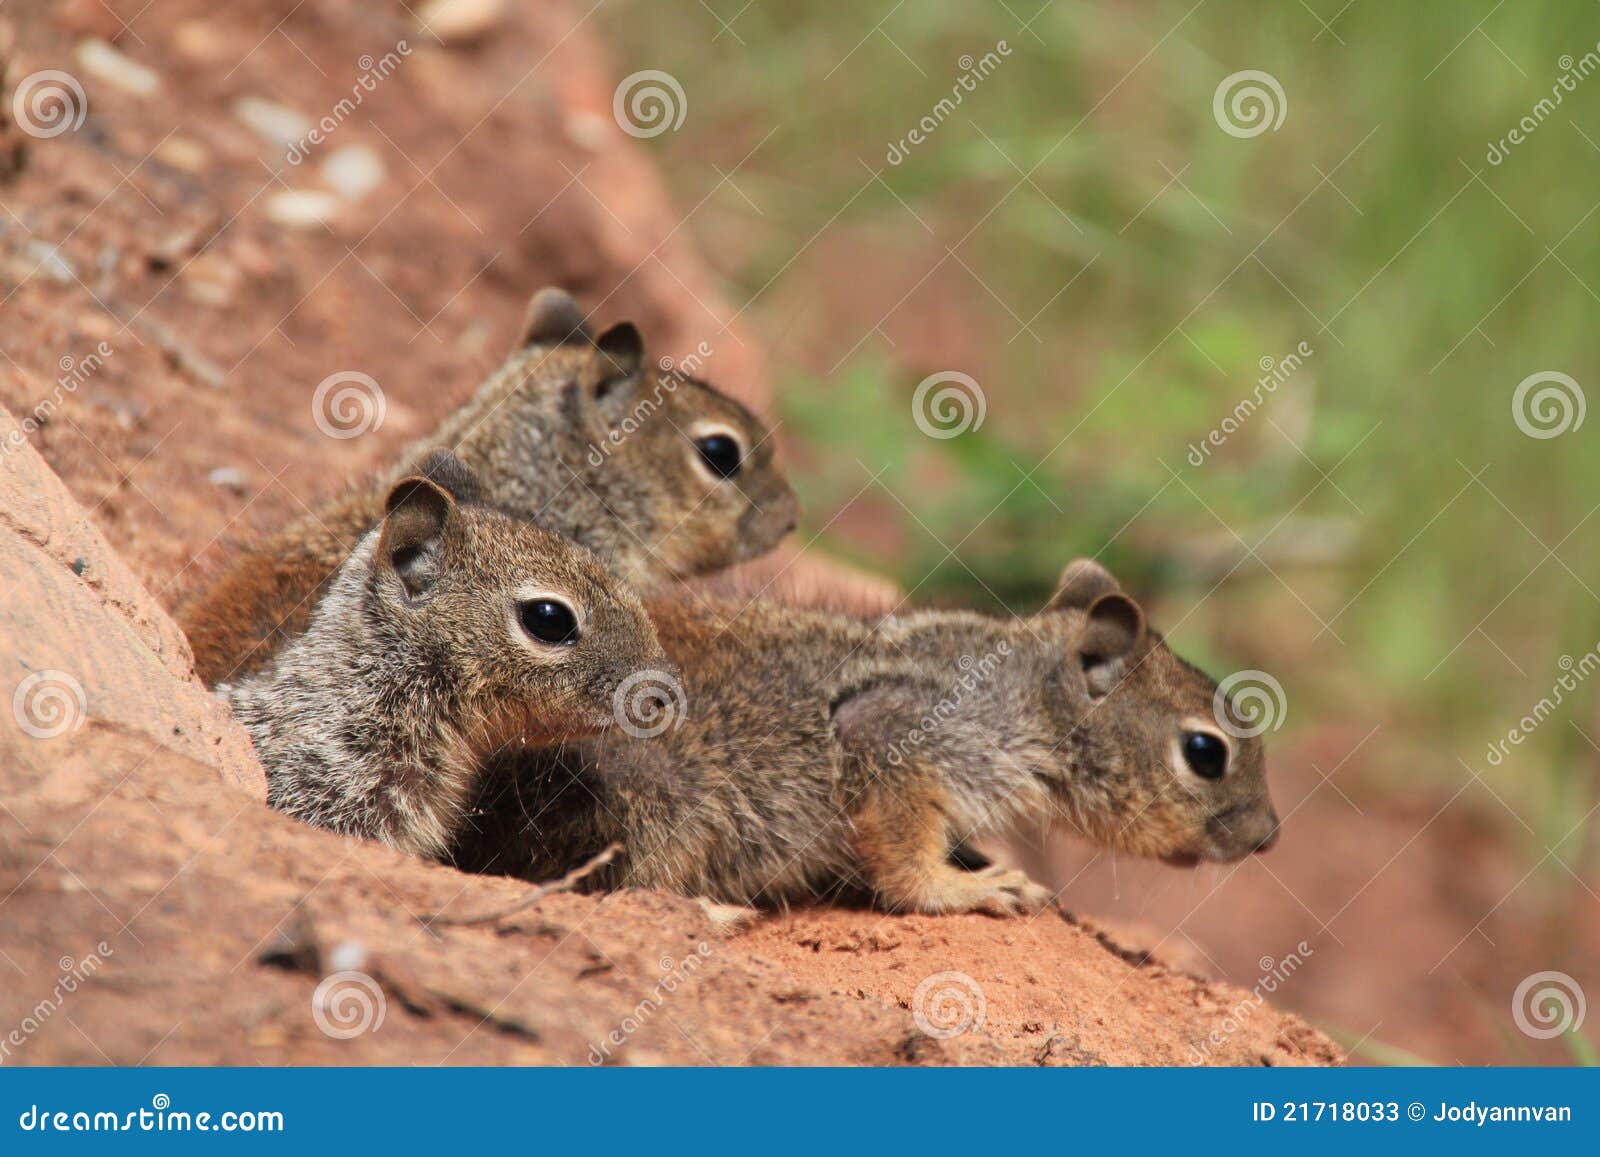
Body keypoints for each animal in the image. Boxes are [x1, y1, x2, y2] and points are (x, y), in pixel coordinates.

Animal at [449, 559, 1281, 916]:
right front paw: (968, 888)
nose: (1269, 835)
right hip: (658, 805)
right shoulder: (894, 742)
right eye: (1206, 752)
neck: (1022, 702)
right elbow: (903, 855)